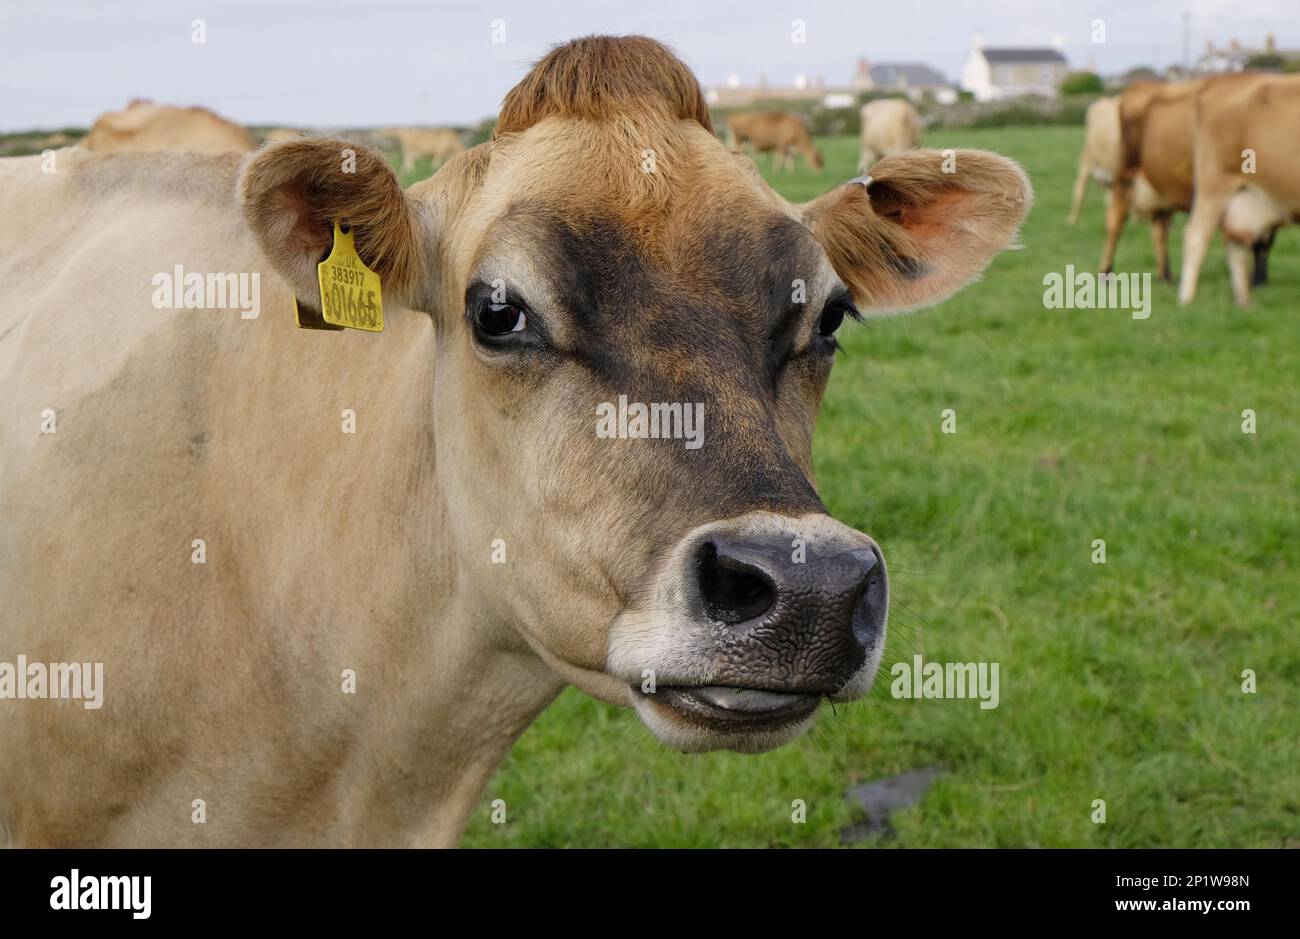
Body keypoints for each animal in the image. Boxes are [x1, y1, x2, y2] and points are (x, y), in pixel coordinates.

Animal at [1179, 73, 1300, 306]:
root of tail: (1223, 81)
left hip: (1240, 197)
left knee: (1234, 247)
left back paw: (1245, 303)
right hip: (1214, 186)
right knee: (1196, 236)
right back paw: (1186, 300)